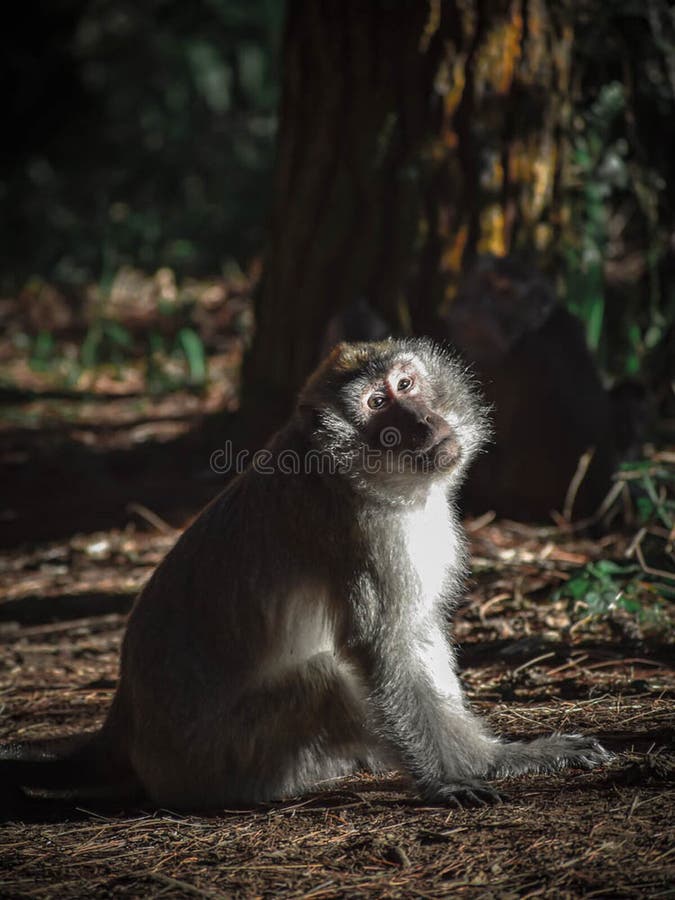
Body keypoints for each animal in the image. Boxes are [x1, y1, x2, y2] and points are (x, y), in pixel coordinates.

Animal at [1, 339, 611, 811]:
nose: (419, 422)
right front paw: (447, 779)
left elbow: (418, 635)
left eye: (406, 383)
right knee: (326, 681)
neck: (355, 473)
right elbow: (381, 649)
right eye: (376, 404)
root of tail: (121, 729)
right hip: (224, 760)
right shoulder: (365, 534)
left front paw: (497, 758)